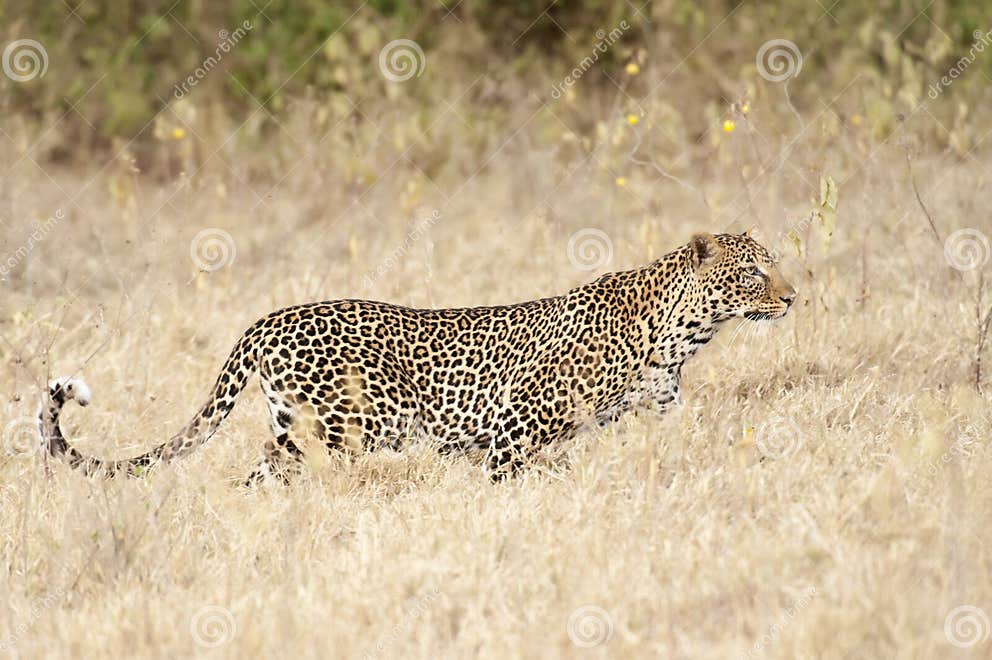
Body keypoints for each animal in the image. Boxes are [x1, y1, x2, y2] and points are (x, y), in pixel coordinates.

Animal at [38, 231, 796, 482]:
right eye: (754, 271)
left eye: (772, 266)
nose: (794, 297)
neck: (684, 331)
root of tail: (268, 318)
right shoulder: (517, 425)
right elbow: (505, 478)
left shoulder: (653, 414)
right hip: (356, 424)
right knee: (286, 463)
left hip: (304, 423)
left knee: (265, 465)